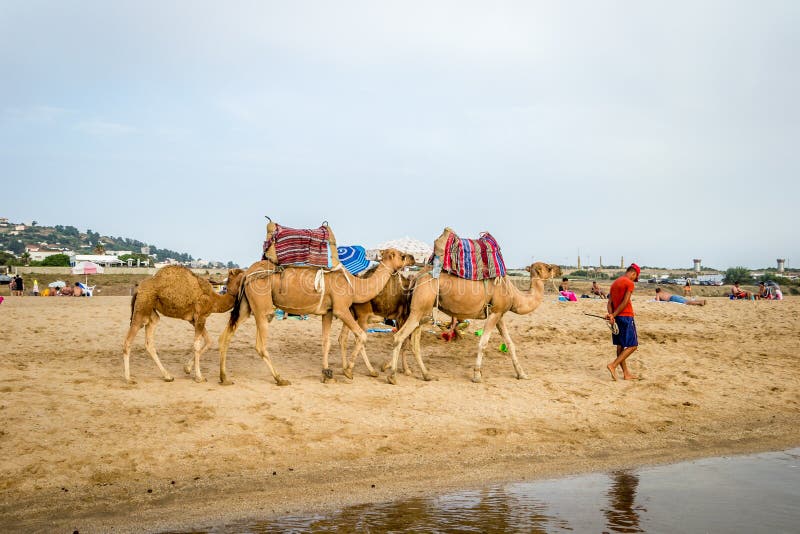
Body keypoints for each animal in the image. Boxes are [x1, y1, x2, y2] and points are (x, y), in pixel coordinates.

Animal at [217, 249, 408, 386]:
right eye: (402, 255)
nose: (412, 258)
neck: (354, 285)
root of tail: (246, 274)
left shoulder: (328, 312)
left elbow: (326, 342)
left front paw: (327, 374)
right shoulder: (341, 309)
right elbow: (361, 335)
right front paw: (349, 371)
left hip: (246, 307)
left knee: (225, 336)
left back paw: (224, 377)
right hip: (262, 307)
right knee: (260, 345)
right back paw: (280, 379)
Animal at [386, 261, 562, 384]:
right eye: (548, 267)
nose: (559, 269)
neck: (514, 295)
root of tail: (416, 277)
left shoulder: (500, 315)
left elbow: (510, 344)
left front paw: (522, 374)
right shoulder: (494, 313)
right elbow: (483, 343)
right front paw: (477, 375)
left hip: (423, 311)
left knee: (414, 341)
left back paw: (427, 375)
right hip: (420, 306)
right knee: (399, 337)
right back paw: (392, 376)